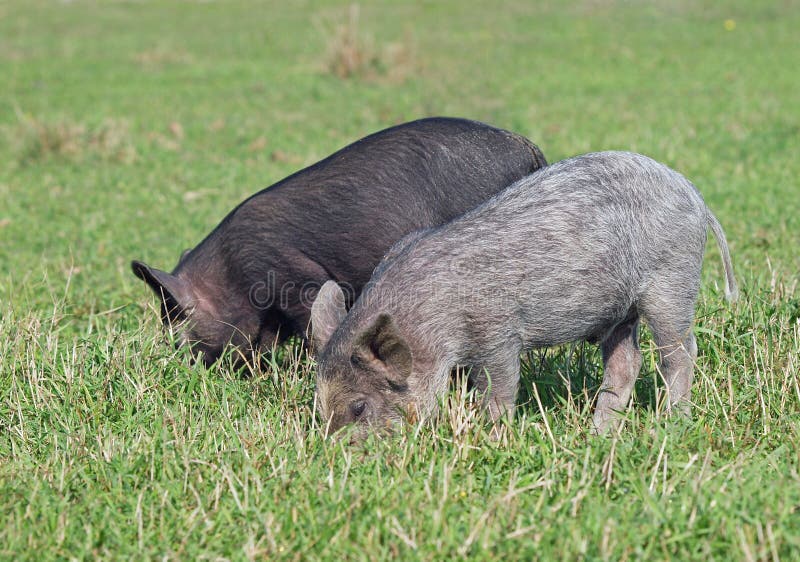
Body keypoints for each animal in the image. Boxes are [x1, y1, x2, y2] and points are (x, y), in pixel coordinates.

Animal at [311, 151, 738, 438]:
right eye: (320, 403)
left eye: (359, 406)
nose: (335, 452)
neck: (432, 314)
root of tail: (693, 193)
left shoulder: (499, 334)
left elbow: (498, 390)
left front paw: (492, 436)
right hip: (620, 311)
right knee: (626, 362)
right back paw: (599, 434)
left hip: (672, 282)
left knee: (679, 352)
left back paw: (671, 425)